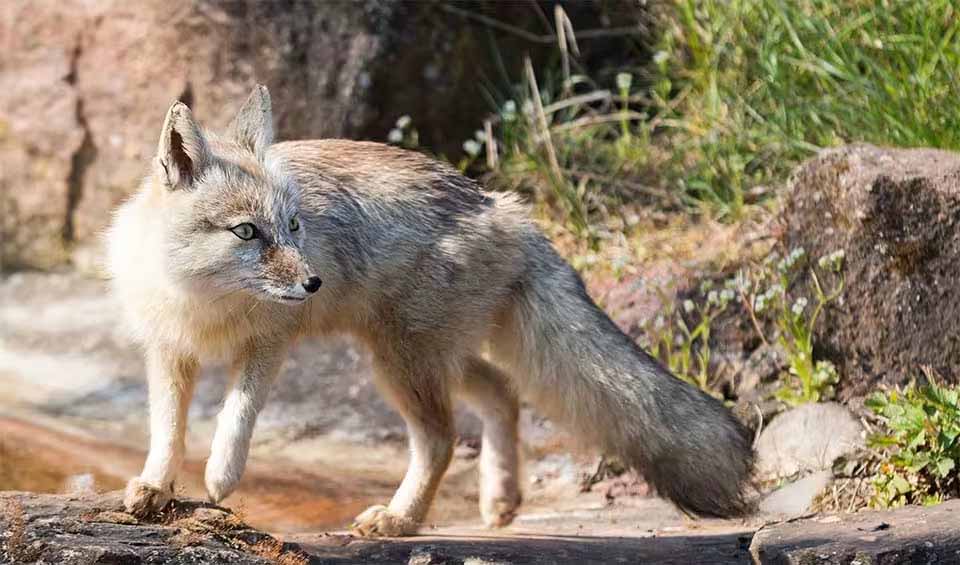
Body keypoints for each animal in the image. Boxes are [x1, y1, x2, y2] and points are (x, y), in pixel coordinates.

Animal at [106, 84, 755, 536]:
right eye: (247, 231)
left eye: (292, 227)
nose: (314, 282)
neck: (204, 304)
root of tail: (505, 206)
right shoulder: (168, 352)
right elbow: (166, 429)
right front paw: (155, 487)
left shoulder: (269, 345)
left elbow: (235, 416)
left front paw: (220, 477)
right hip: (427, 357)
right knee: (501, 391)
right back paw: (499, 500)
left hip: (400, 364)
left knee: (442, 440)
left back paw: (401, 520)